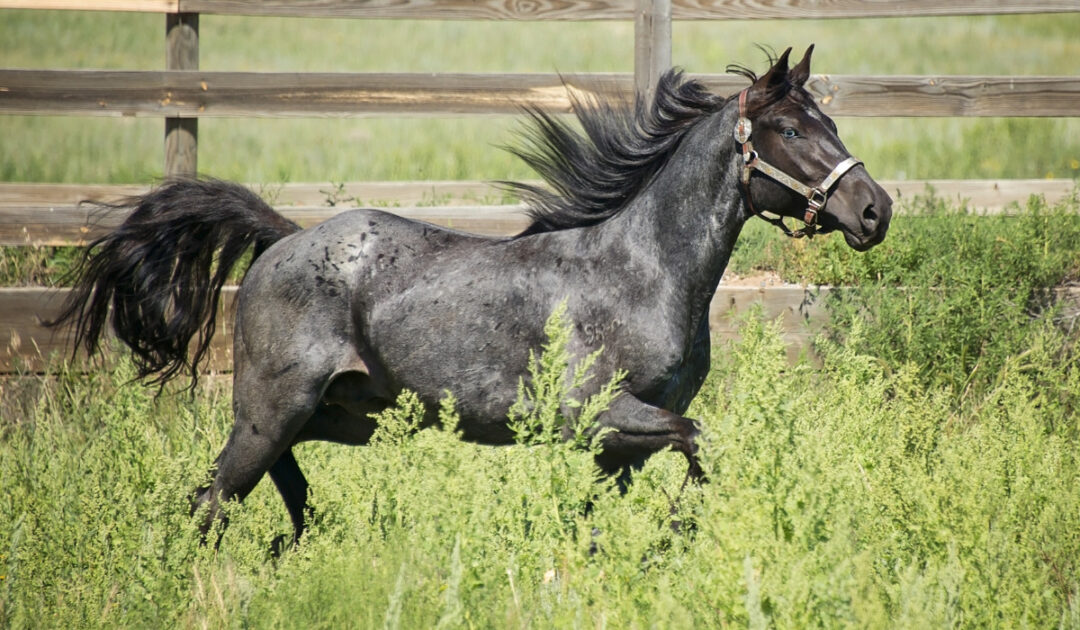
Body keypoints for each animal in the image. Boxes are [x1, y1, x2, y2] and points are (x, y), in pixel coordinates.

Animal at [50, 46, 892, 547]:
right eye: (789, 129)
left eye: (828, 118)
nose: (874, 210)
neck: (640, 273)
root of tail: (282, 238)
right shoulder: (597, 416)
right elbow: (696, 442)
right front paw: (680, 533)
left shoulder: (615, 444)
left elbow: (604, 509)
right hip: (271, 407)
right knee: (213, 497)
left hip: (344, 414)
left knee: (272, 481)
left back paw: (307, 542)